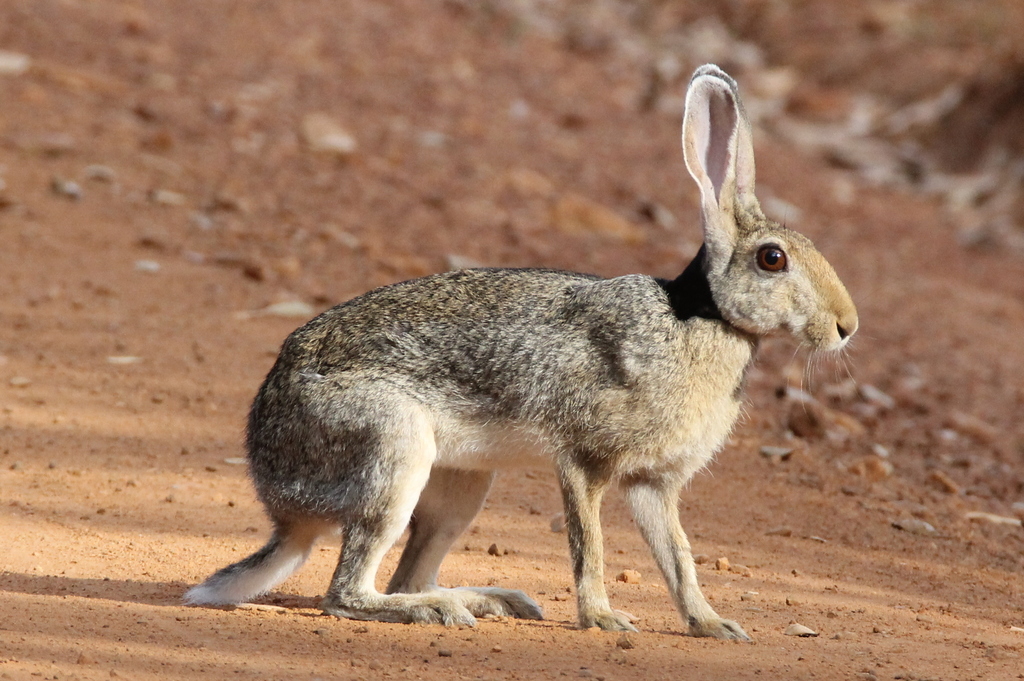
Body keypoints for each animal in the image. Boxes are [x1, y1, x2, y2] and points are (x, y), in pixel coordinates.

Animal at [185, 64, 858, 641]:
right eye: (773, 258)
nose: (847, 326)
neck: (703, 318)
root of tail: (282, 503)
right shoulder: (586, 461)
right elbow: (590, 547)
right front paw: (604, 619)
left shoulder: (652, 484)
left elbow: (679, 559)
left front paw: (713, 626)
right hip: (390, 446)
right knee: (347, 591)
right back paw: (440, 611)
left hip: (460, 482)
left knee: (404, 573)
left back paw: (490, 600)